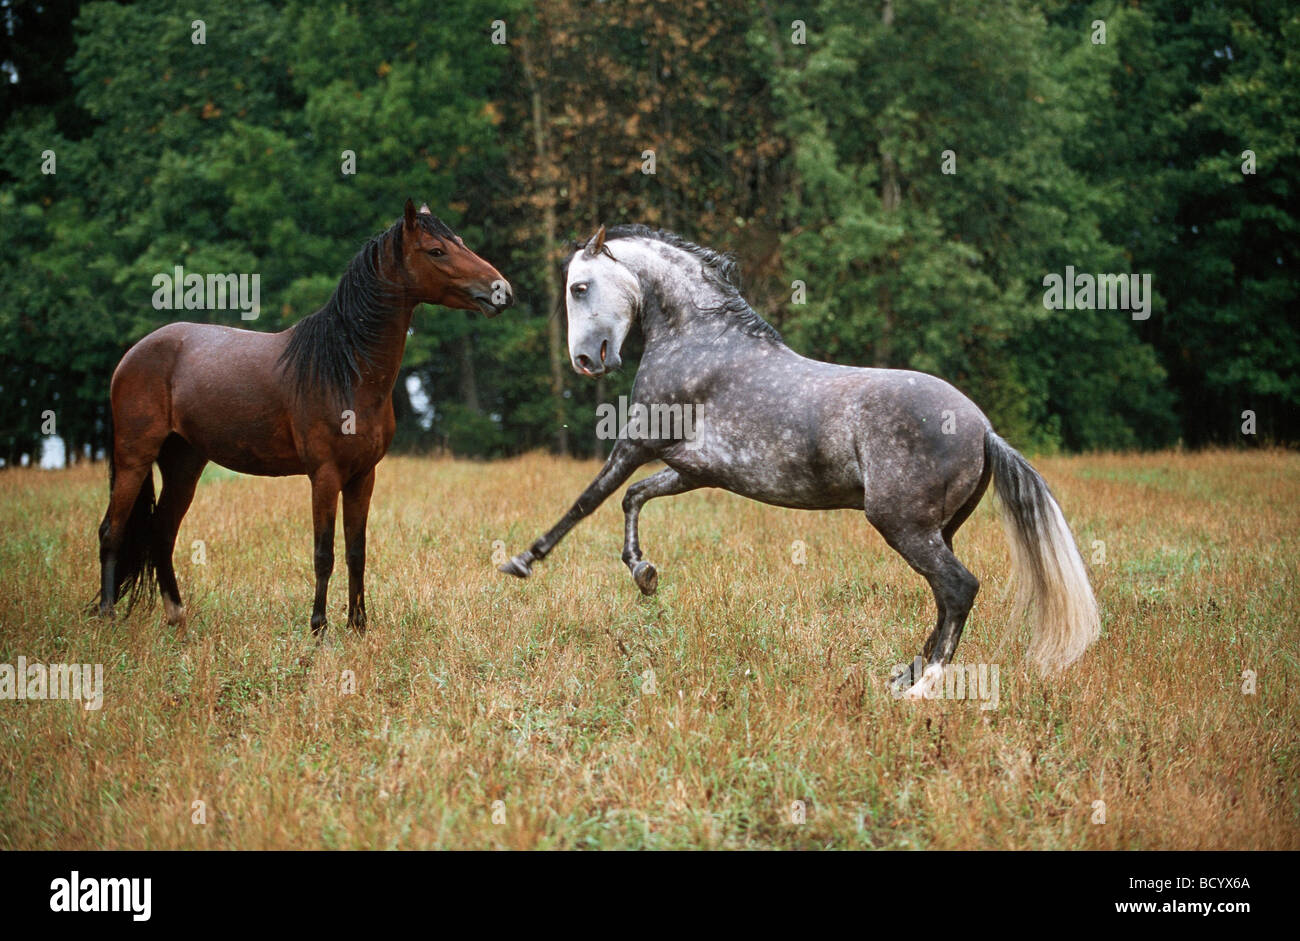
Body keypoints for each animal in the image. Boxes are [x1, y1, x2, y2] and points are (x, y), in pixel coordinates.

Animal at [95, 199, 513, 635]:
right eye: (436, 250)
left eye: (459, 241)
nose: (502, 291)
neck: (345, 369)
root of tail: (133, 355)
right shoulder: (325, 475)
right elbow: (323, 553)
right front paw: (319, 627)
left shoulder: (363, 476)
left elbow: (356, 551)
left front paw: (358, 625)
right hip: (135, 458)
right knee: (112, 530)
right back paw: (107, 615)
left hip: (184, 464)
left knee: (162, 532)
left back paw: (177, 616)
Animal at [499, 224, 1099, 698]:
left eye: (579, 287)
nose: (584, 360)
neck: (699, 339)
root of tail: (984, 429)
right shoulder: (695, 470)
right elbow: (633, 496)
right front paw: (644, 573)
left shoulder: (639, 441)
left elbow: (588, 499)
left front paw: (523, 561)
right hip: (935, 529)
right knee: (944, 597)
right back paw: (902, 677)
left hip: (901, 524)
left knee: (958, 589)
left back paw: (921, 689)